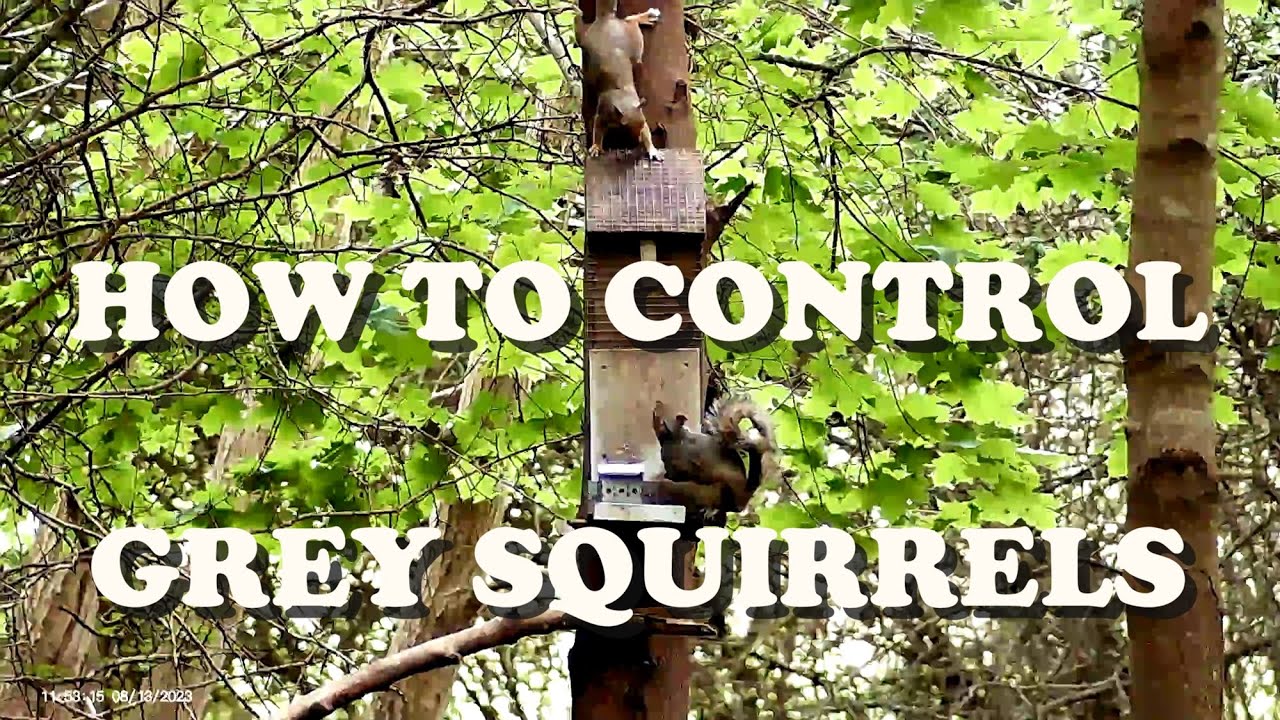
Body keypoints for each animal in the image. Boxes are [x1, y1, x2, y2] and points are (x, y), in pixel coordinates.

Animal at [576, 0, 664, 162]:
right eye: (626, 128)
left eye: (642, 126)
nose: (638, 141)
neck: (624, 100)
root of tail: (606, 19)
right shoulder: (604, 111)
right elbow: (598, 129)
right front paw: (596, 148)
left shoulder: (640, 112)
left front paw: (652, 149)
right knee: (629, 20)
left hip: (633, 42)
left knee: (630, 21)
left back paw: (646, 17)